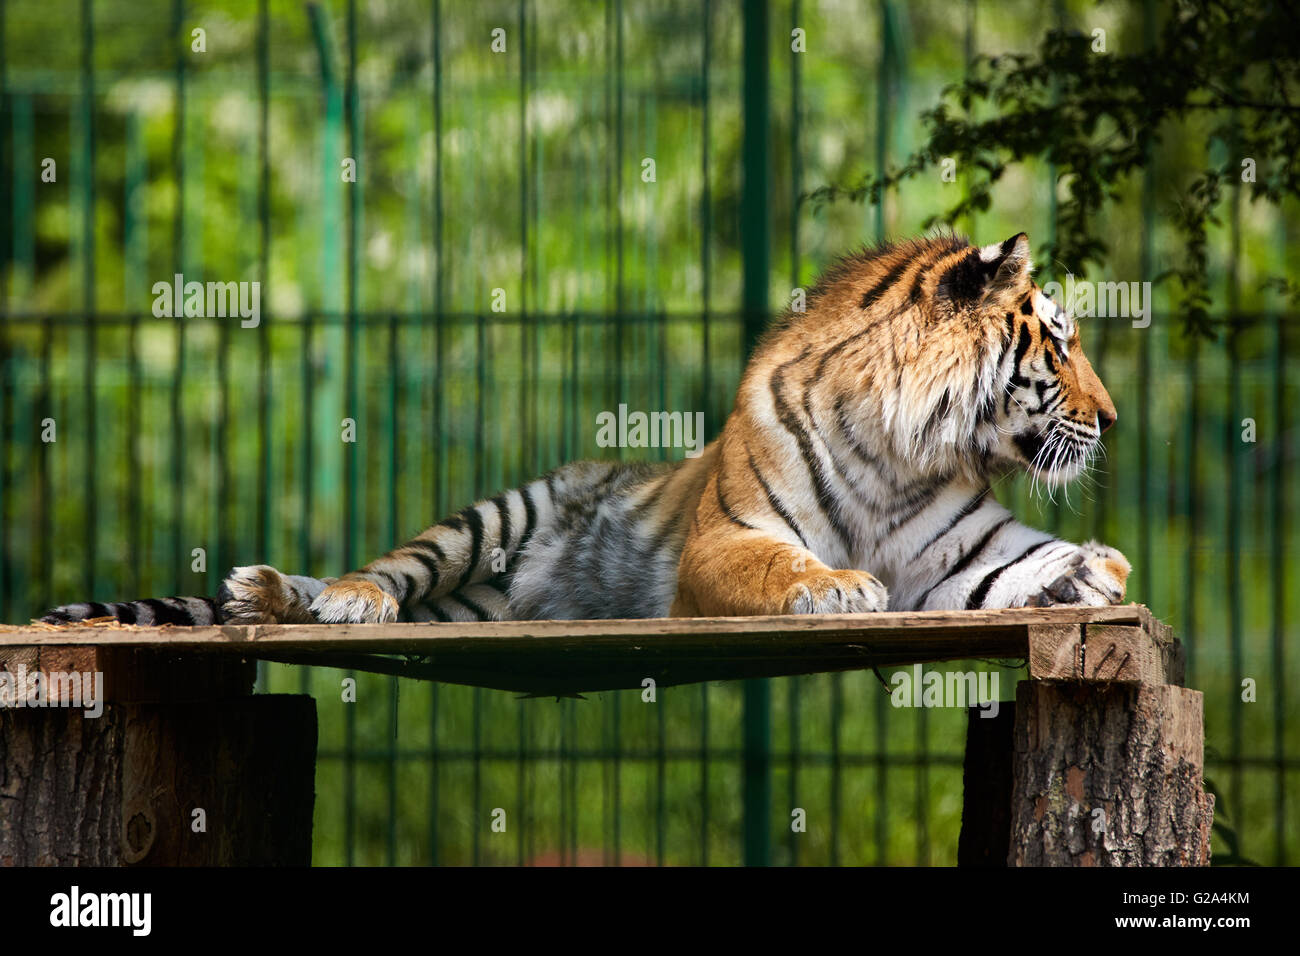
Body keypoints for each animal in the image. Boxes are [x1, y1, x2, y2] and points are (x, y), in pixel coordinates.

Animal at [39, 231, 1129, 628]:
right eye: (1061, 343)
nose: (1113, 419)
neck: (908, 447)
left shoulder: (961, 555)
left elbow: (1022, 567)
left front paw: (1096, 569)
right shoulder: (726, 539)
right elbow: (781, 564)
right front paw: (834, 585)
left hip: (472, 610)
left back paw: (270, 594)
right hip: (484, 522)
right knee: (387, 569)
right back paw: (329, 598)